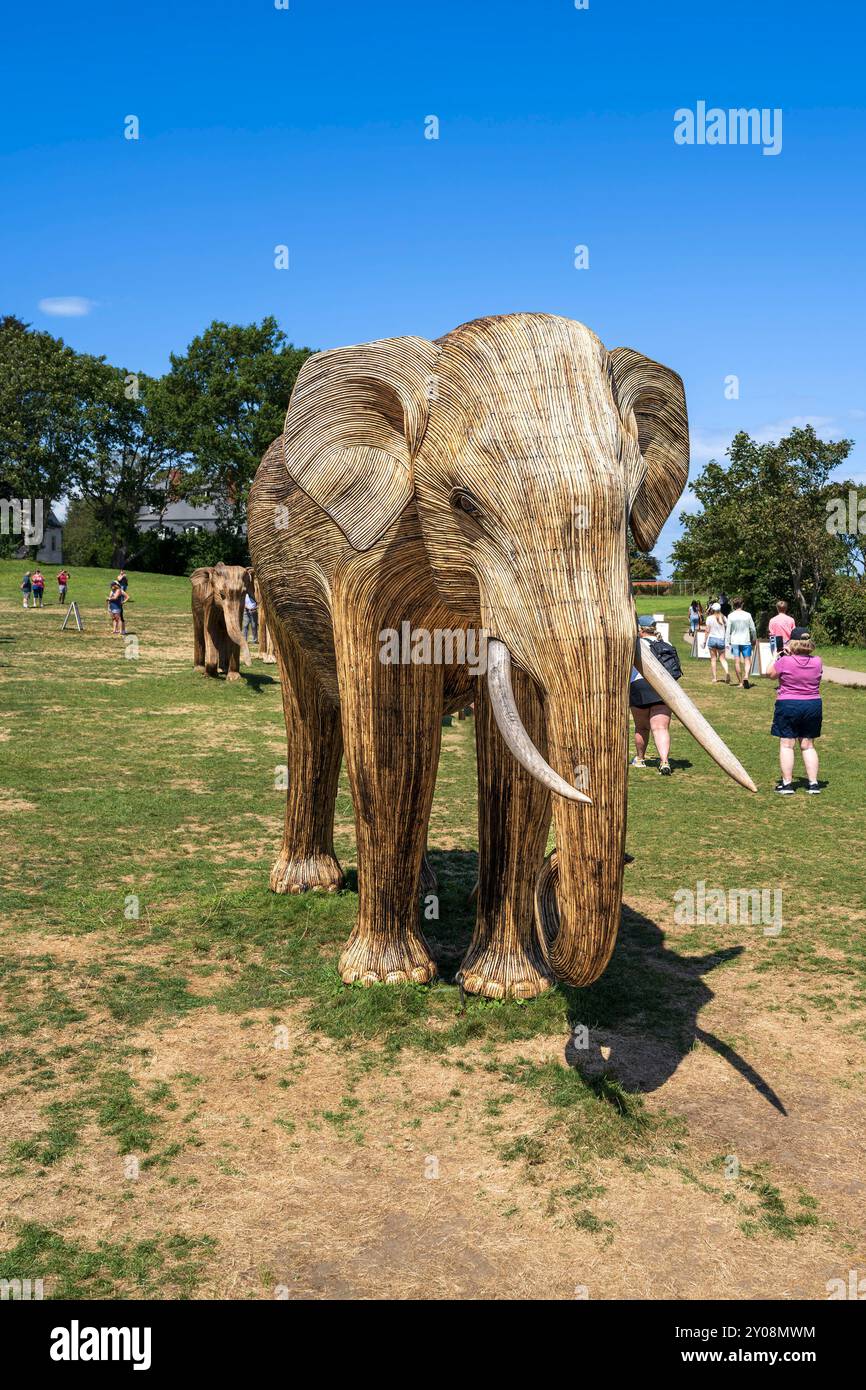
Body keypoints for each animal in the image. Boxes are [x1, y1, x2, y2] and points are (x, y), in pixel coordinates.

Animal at [248, 313, 755, 999]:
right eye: (464, 503)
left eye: (626, 510)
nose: (555, 878)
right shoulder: (370, 559)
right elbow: (387, 736)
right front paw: (386, 981)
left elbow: (520, 757)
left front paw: (506, 988)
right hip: (275, 590)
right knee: (313, 720)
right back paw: (307, 885)